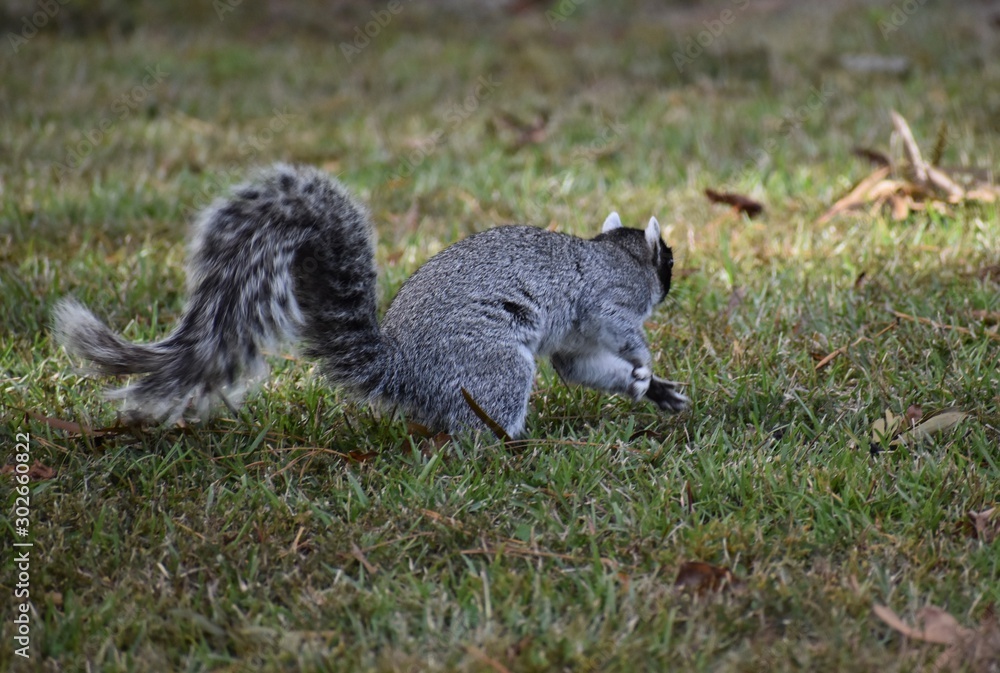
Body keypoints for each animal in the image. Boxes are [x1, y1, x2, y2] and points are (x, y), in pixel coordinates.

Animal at [53, 164, 689, 437]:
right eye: (669, 257)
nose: (674, 278)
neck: (616, 253)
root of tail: (406, 373)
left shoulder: (576, 341)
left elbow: (582, 367)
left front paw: (647, 387)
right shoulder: (607, 300)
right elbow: (620, 328)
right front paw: (644, 360)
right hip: (493, 364)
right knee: (478, 426)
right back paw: (517, 446)